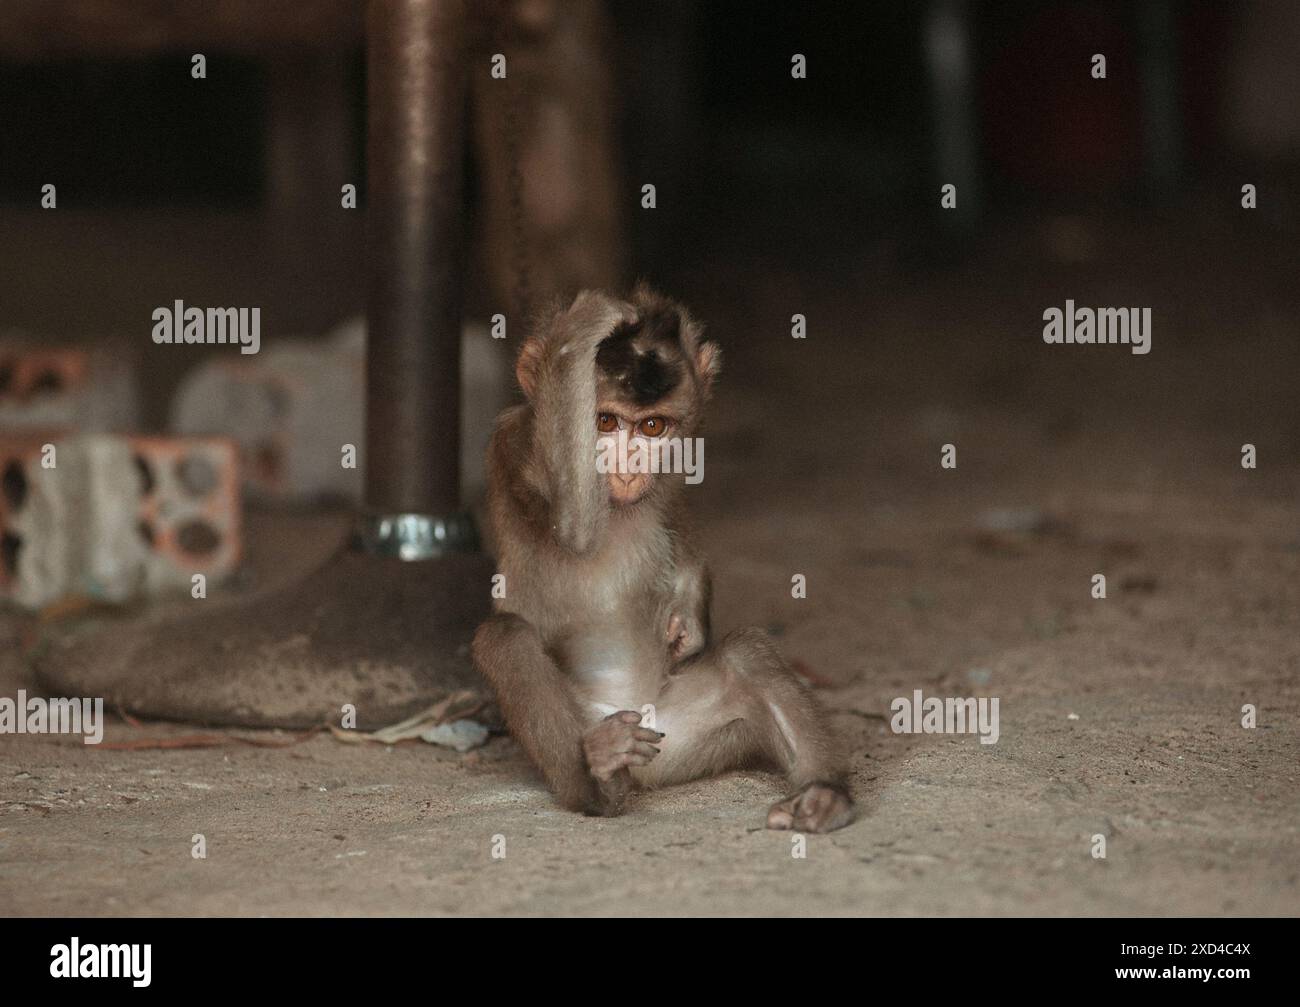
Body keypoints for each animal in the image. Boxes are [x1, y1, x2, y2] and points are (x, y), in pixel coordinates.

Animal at [472, 285, 854, 833]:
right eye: (604, 421)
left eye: (653, 426)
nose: (629, 469)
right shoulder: (518, 443)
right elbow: (574, 528)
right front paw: (581, 330)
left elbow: (678, 520)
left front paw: (688, 620)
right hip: (590, 721)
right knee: (504, 638)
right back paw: (599, 779)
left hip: (688, 734)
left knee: (746, 653)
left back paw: (823, 793)